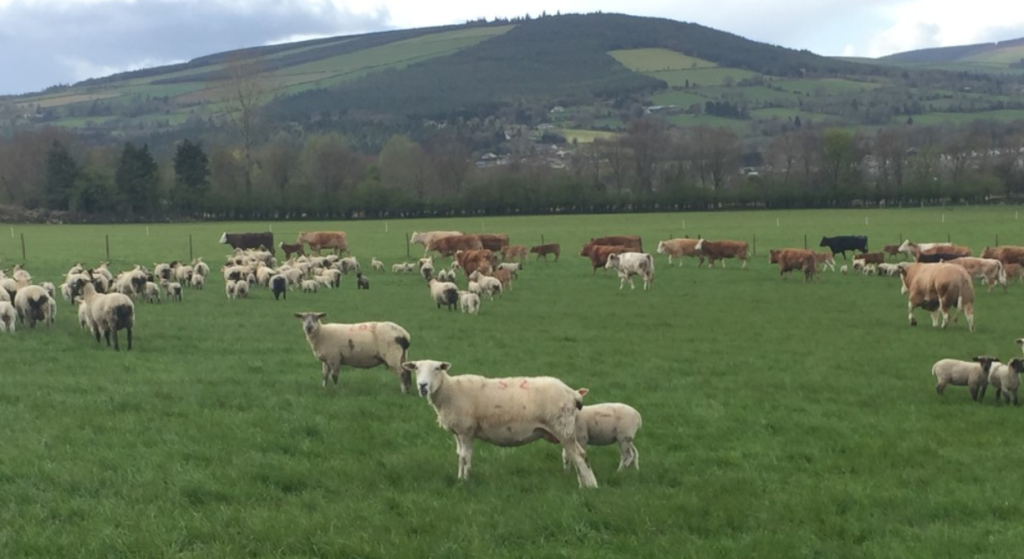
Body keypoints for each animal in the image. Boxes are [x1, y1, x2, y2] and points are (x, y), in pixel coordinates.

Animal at [400, 360, 598, 488]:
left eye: (436, 368)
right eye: (416, 368)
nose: (422, 385)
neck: (449, 390)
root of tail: (572, 393)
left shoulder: (466, 429)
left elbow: (465, 457)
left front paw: (465, 481)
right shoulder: (459, 432)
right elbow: (460, 457)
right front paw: (460, 478)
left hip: (562, 427)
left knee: (580, 455)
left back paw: (590, 486)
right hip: (565, 429)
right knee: (575, 455)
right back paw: (583, 483)